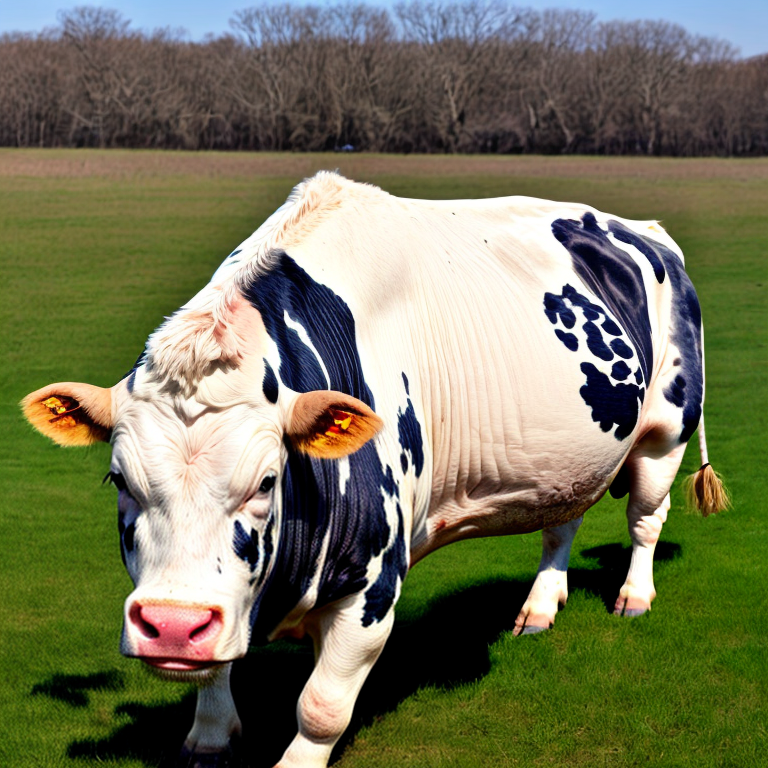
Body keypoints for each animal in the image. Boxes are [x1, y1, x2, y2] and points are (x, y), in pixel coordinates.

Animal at [22, 172, 728, 768]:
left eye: (267, 481)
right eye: (119, 481)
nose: (171, 626)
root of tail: (646, 230)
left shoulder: (374, 586)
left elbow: (322, 706)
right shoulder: (223, 600)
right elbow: (217, 667)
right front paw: (210, 738)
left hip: (665, 432)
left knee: (645, 520)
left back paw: (634, 597)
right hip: (570, 460)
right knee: (562, 523)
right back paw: (539, 607)